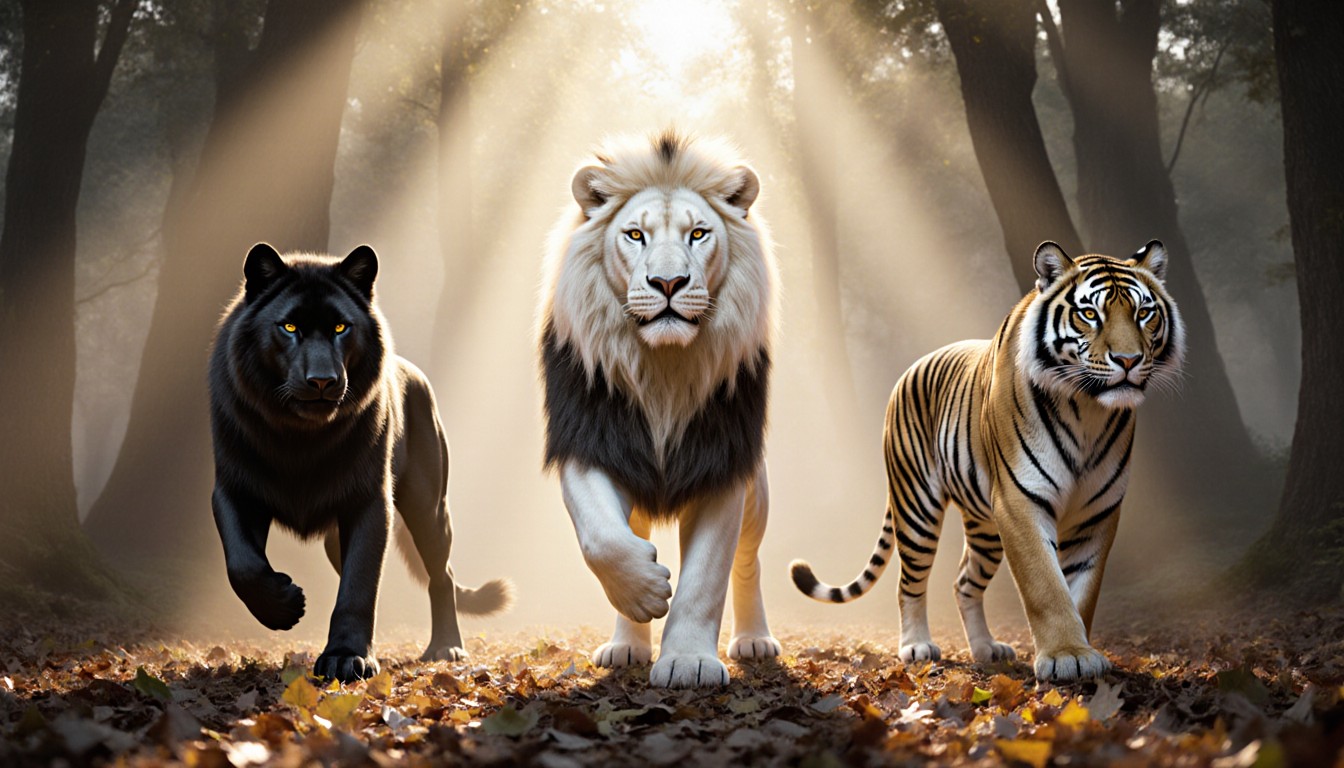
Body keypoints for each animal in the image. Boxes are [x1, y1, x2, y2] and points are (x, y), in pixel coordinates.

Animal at [538, 130, 780, 688]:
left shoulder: (723, 462)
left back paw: (754, 639)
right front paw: (645, 590)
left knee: (748, 559)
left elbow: (707, 575)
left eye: (698, 234)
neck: (663, 370)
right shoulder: (590, 441)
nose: (668, 284)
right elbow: (603, 538)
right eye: (634, 235)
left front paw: (689, 663)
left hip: (757, 494)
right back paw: (627, 644)